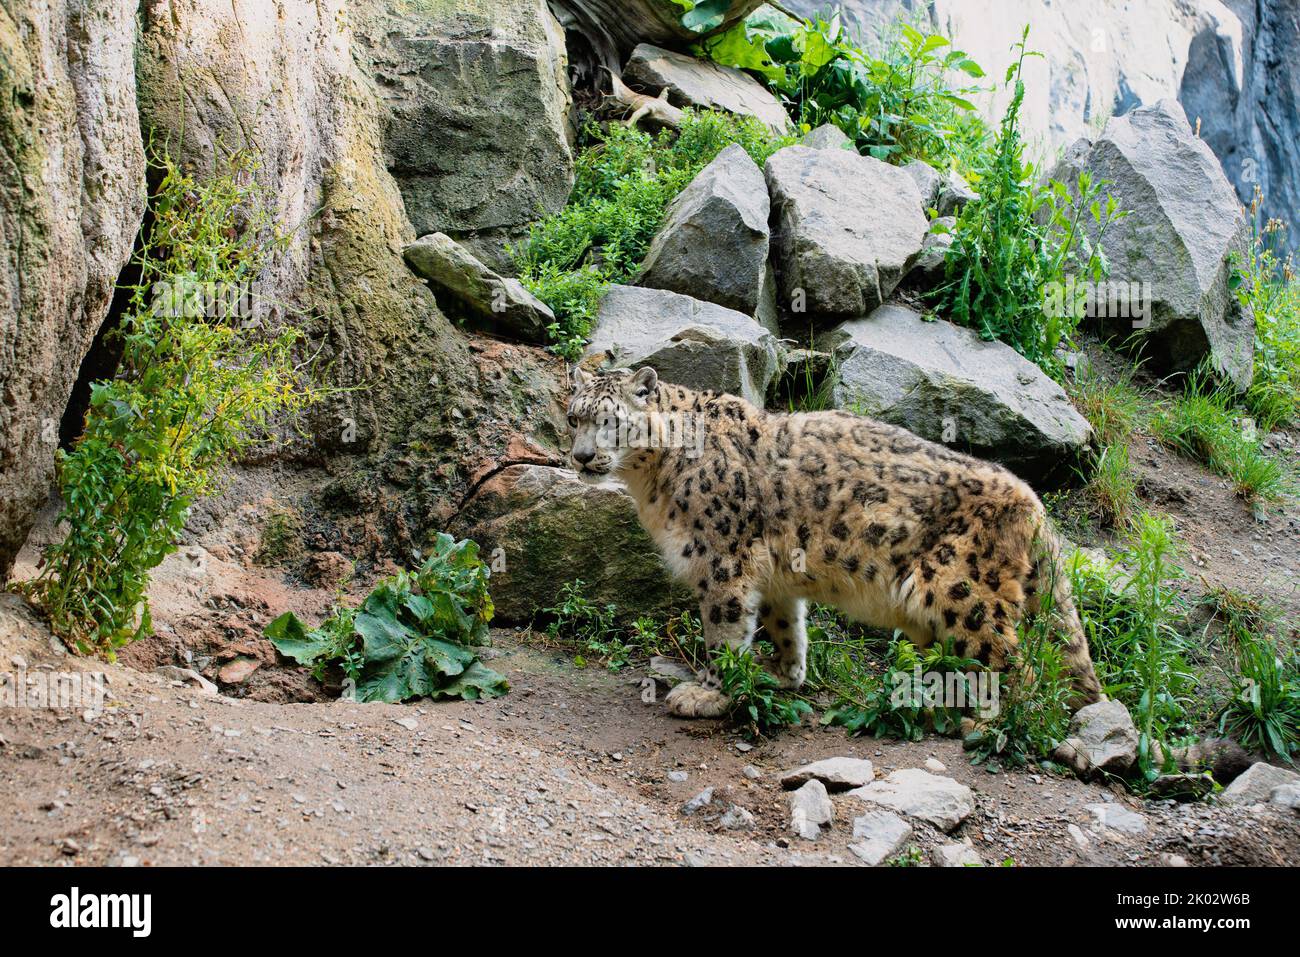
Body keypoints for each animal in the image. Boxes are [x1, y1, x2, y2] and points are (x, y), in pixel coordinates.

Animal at [565, 364, 1103, 720]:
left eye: (611, 420)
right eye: (574, 418)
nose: (582, 456)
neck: (651, 483)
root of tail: (1031, 498)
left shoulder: (722, 563)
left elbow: (723, 630)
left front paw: (708, 693)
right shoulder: (772, 575)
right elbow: (785, 624)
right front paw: (784, 672)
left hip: (960, 593)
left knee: (1018, 670)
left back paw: (989, 719)